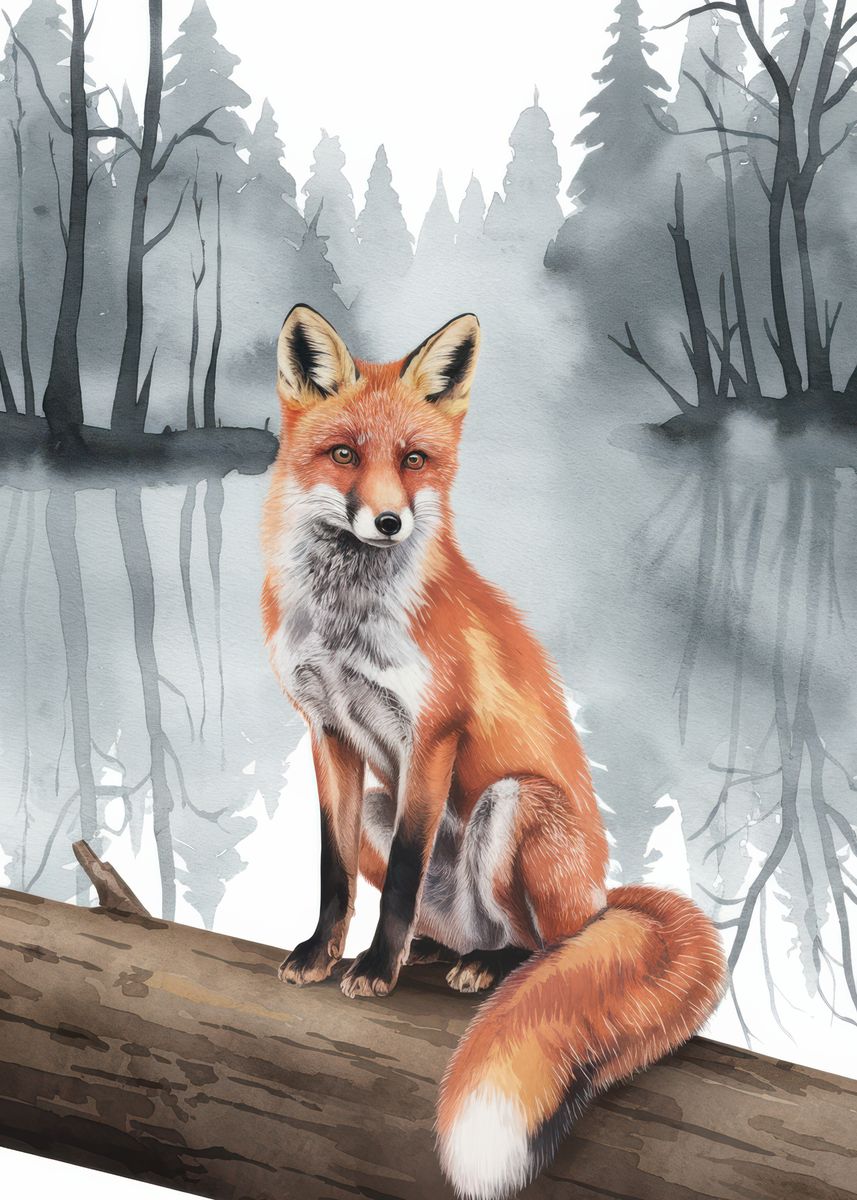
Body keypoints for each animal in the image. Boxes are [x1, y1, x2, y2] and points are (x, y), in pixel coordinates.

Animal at [260, 304, 727, 1200]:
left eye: (413, 460)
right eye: (345, 455)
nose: (388, 521)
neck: (346, 622)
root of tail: (603, 898)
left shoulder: (432, 735)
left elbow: (402, 877)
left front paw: (375, 964)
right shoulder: (326, 730)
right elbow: (335, 873)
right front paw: (323, 950)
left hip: (512, 806)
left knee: (544, 946)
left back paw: (488, 964)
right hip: (384, 807)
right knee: (452, 922)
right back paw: (440, 951)